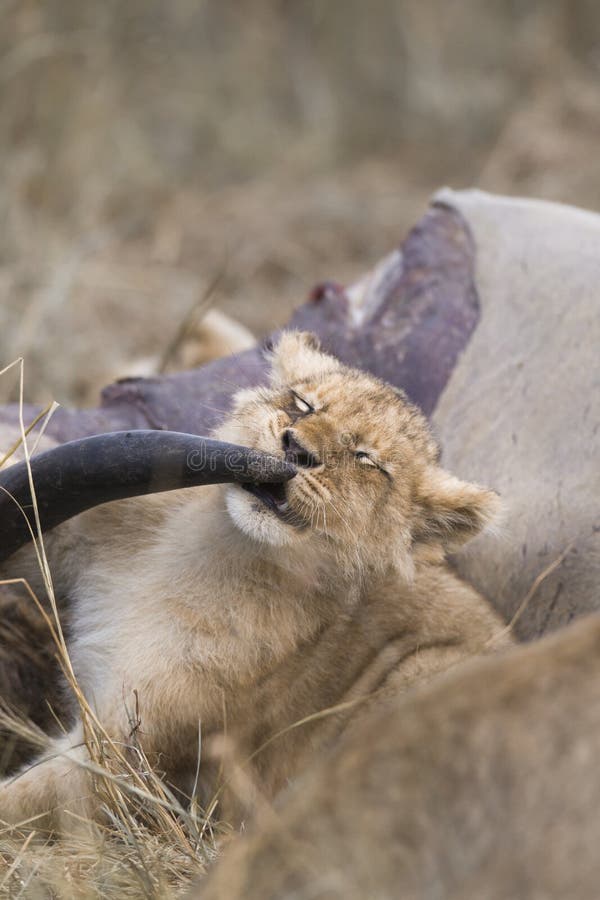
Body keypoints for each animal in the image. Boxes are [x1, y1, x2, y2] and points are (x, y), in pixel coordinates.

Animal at [0, 331, 511, 833]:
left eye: (367, 460)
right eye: (303, 403)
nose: (295, 449)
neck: (219, 541)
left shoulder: (133, 749)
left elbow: (27, 800)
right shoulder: (66, 537)